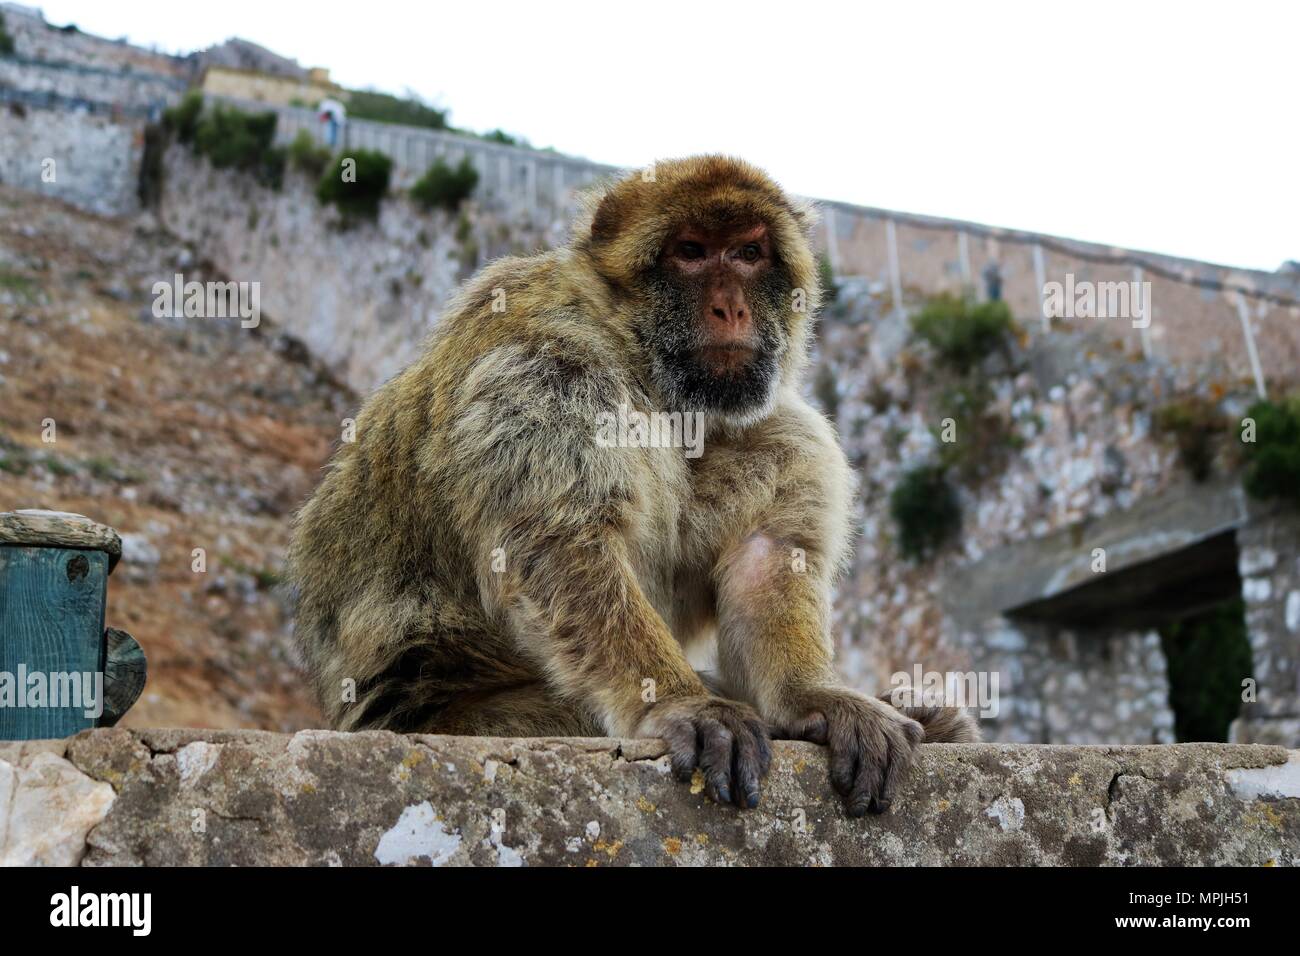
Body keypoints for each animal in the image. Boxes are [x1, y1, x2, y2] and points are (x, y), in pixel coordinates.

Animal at [287, 155, 977, 817]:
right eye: (691, 251)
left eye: (748, 253)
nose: (731, 308)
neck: (644, 368)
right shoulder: (543, 370)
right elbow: (561, 545)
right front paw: (677, 704)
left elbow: (768, 552)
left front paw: (814, 699)